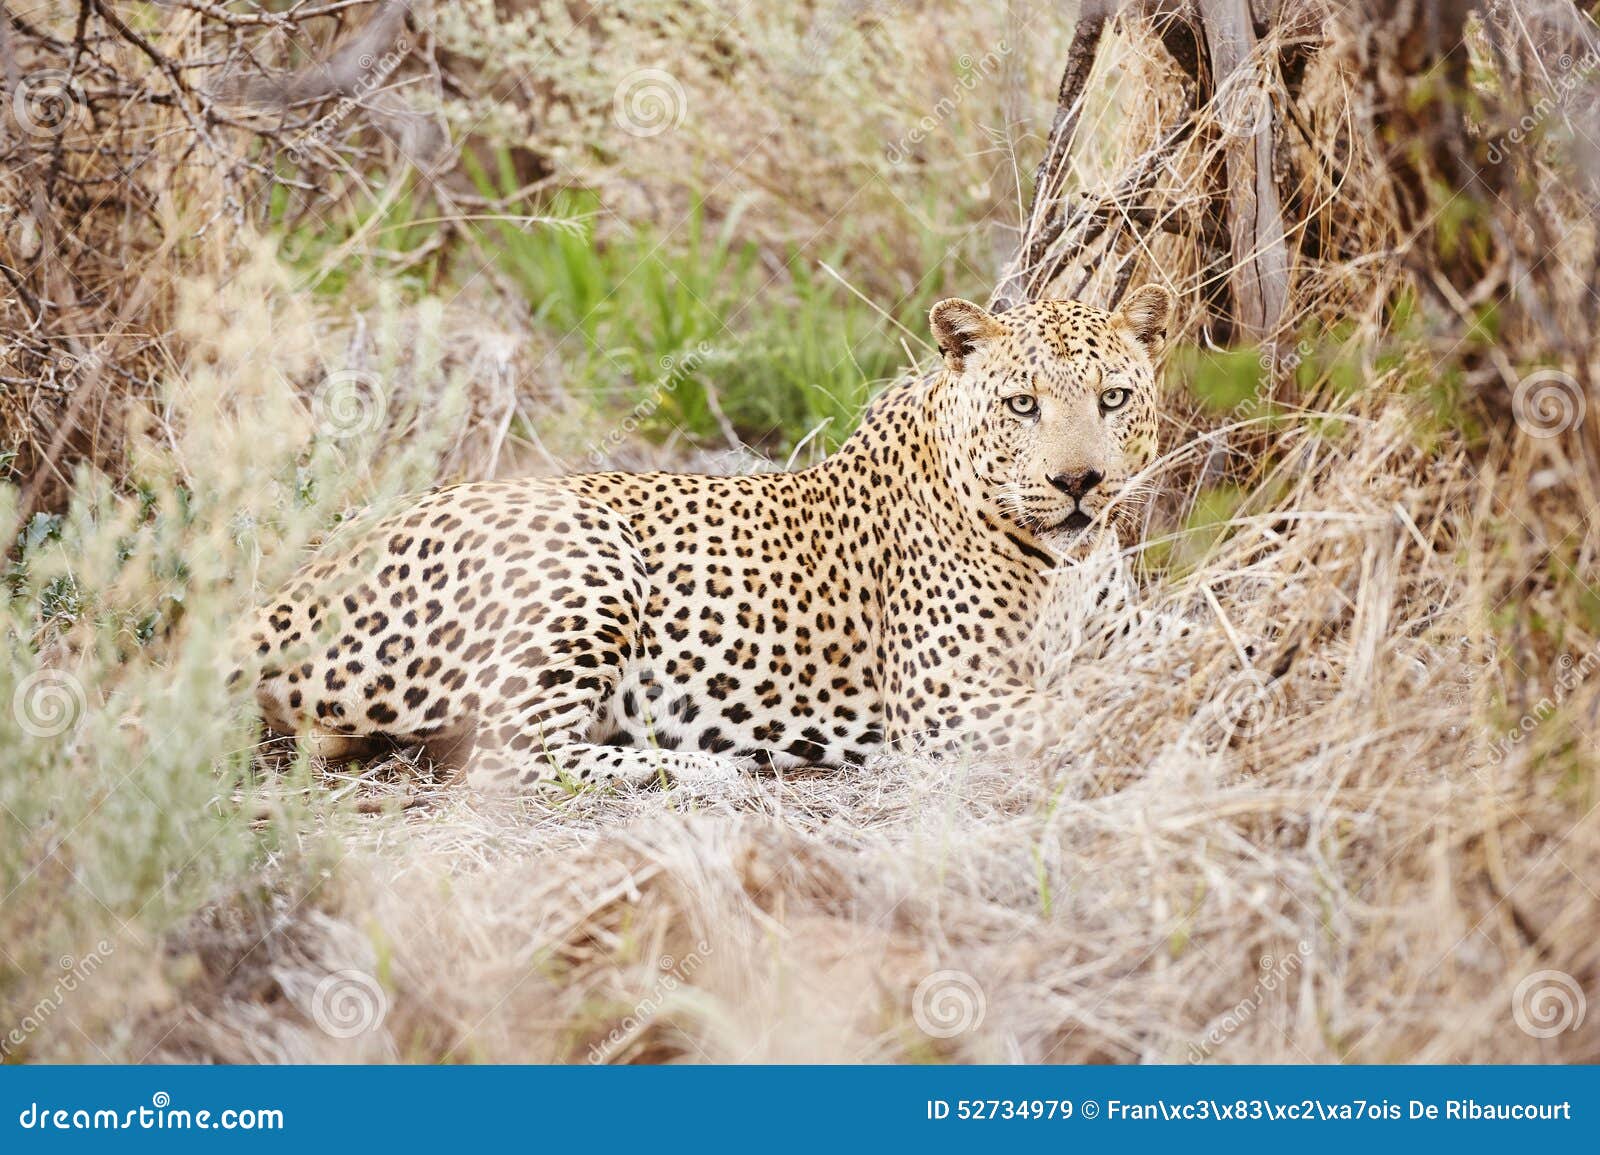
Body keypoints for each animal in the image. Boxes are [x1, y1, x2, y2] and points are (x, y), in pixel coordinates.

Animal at [243, 284, 1173, 792]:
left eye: (1114, 398)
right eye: (1022, 405)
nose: (1080, 482)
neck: (1063, 563)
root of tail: (296, 589)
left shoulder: (1122, 633)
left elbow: (1155, 656)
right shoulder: (950, 696)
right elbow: (1093, 704)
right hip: (586, 554)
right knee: (513, 756)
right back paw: (719, 765)